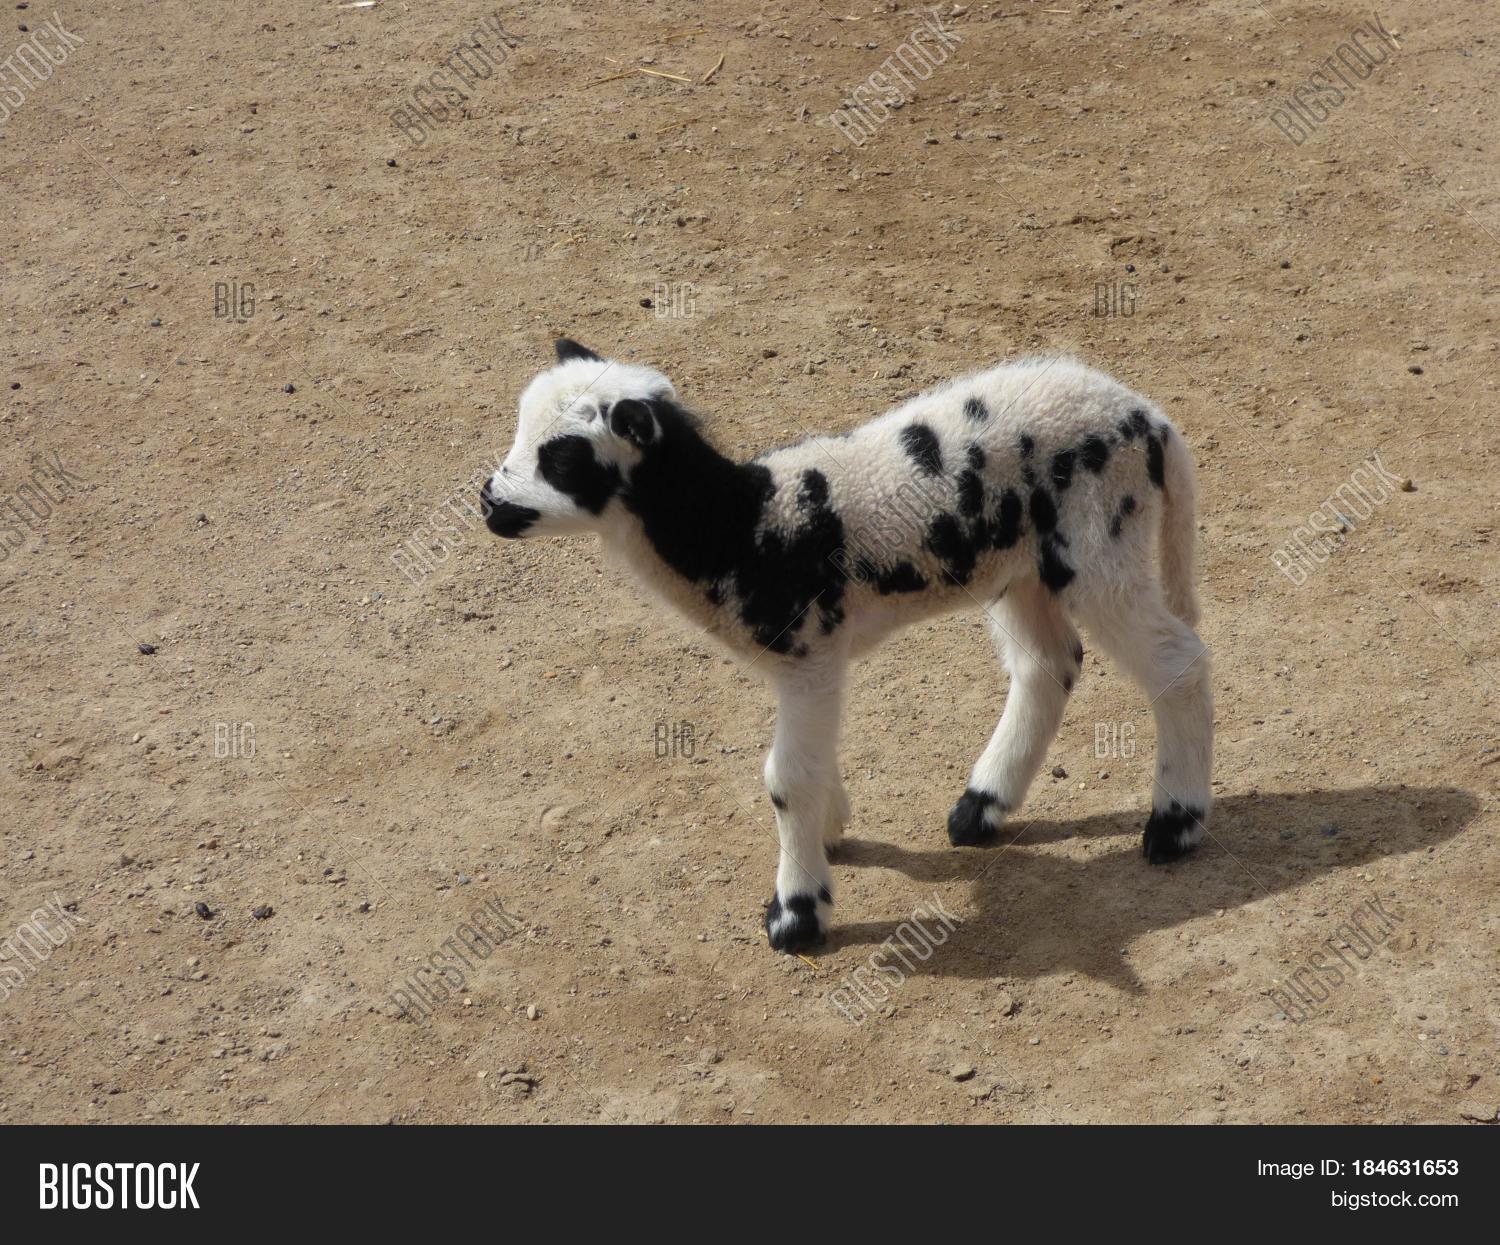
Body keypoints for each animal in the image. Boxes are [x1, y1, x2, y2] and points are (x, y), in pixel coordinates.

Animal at [480, 339, 1213, 953]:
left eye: (563, 458)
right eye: (520, 428)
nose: (488, 501)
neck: (742, 525)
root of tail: (1147, 417)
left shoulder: (809, 658)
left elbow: (785, 779)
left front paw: (797, 912)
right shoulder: (813, 664)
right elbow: (812, 762)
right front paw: (830, 829)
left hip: (1101, 539)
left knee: (1178, 665)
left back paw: (1175, 822)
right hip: (1021, 566)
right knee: (1047, 664)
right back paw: (980, 807)